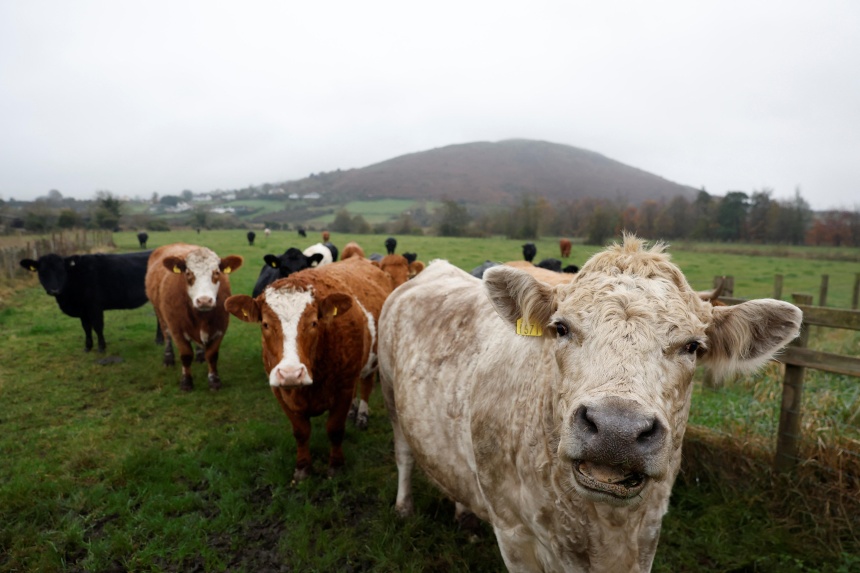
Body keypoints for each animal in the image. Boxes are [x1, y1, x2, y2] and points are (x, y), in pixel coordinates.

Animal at [20, 251, 156, 352]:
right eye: (42, 272)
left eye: (62, 270)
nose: (54, 290)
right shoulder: (83, 310)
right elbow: (86, 327)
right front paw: (88, 346)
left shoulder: (94, 306)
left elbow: (97, 326)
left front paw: (101, 347)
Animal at [145, 243, 243, 391]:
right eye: (188, 273)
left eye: (216, 273)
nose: (204, 300)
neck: (201, 316)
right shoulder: (177, 329)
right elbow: (186, 355)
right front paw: (186, 382)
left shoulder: (220, 328)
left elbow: (212, 355)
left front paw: (214, 380)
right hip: (159, 313)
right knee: (166, 335)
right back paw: (168, 359)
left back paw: (200, 356)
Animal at [224, 256, 392, 481]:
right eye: (265, 324)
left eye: (314, 323)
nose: (291, 374)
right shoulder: (279, 391)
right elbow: (301, 432)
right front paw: (303, 467)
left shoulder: (344, 387)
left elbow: (335, 429)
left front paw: (336, 465)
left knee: (365, 384)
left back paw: (362, 415)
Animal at [378, 235, 802, 572]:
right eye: (561, 328)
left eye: (693, 346)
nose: (617, 430)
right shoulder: (514, 534)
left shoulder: (647, 537)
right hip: (391, 396)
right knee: (403, 453)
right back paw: (402, 507)